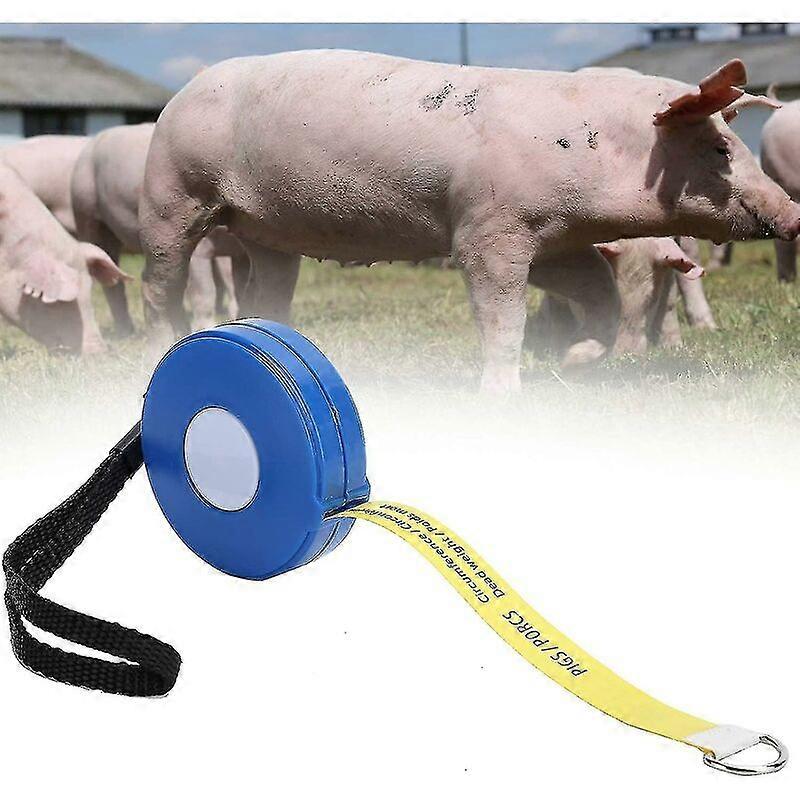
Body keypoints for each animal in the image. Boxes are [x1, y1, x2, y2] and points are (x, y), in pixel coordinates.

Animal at [71, 123, 250, 331]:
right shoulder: (199, 247)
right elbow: (204, 292)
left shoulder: (240, 253)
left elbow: (238, 287)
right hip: (87, 214)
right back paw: (126, 331)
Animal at [137, 51, 800, 392]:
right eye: (719, 149)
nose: (794, 213)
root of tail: (189, 86)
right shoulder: (489, 230)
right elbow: (502, 319)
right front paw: (502, 397)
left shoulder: (557, 243)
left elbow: (601, 294)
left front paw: (572, 362)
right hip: (172, 195)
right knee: (160, 283)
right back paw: (160, 349)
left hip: (269, 232)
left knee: (264, 290)